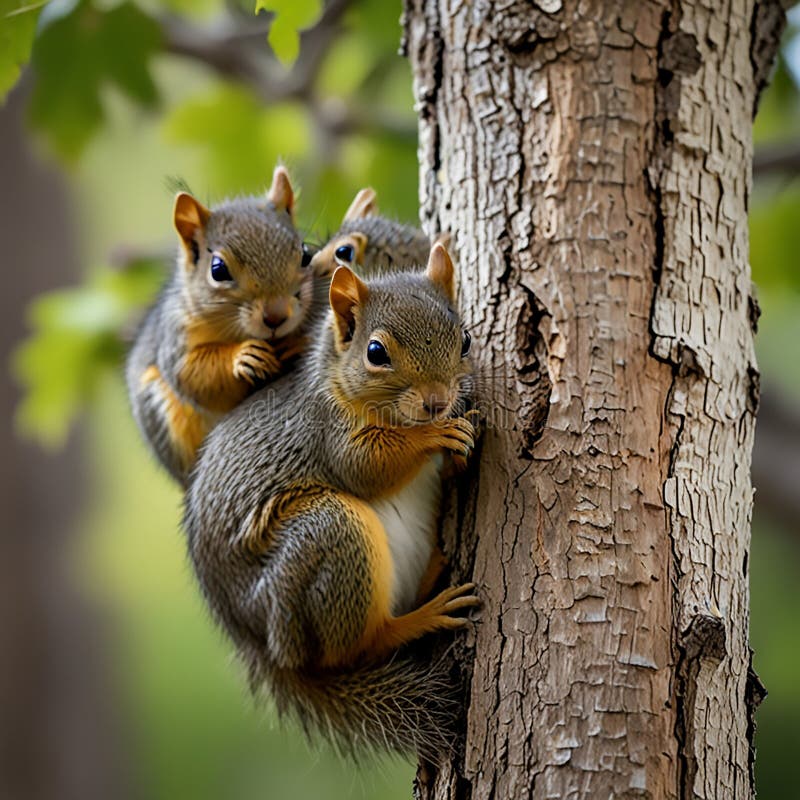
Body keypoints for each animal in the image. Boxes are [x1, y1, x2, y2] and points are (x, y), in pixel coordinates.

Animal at [126, 166, 329, 485]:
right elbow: (194, 375)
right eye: (218, 269)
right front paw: (242, 357)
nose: (276, 317)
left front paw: (296, 344)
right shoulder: (178, 335)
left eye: (306, 254)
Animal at [184, 243, 479, 759]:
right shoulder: (327, 432)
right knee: (359, 647)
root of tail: (270, 650)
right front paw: (435, 436)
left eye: (464, 339)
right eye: (376, 352)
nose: (437, 402)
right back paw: (422, 617)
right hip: (325, 538)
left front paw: (461, 438)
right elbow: (366, 466)